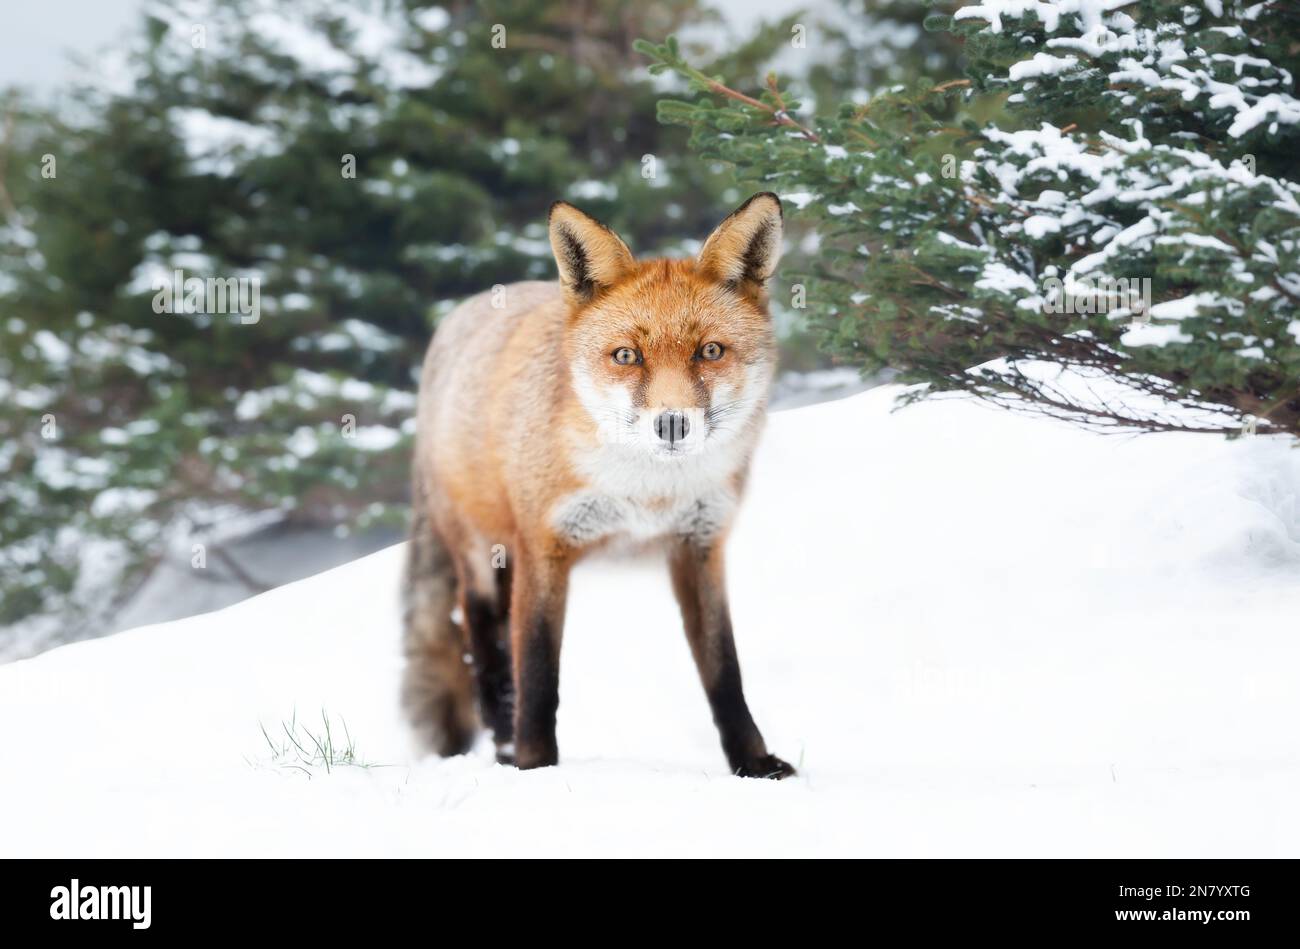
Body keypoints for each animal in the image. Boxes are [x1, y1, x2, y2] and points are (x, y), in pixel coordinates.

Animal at [401, 192, 794, 779]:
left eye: (710, 351)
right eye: (627, 356)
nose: (672, 424)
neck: (646, 492)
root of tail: (459, 315)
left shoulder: (699, 545)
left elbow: (725, 671)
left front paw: (754, 762)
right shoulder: (545, 548)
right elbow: (539, 675)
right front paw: (536, 768)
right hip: (483, 559)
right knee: (487, 652)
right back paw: (505, 748)